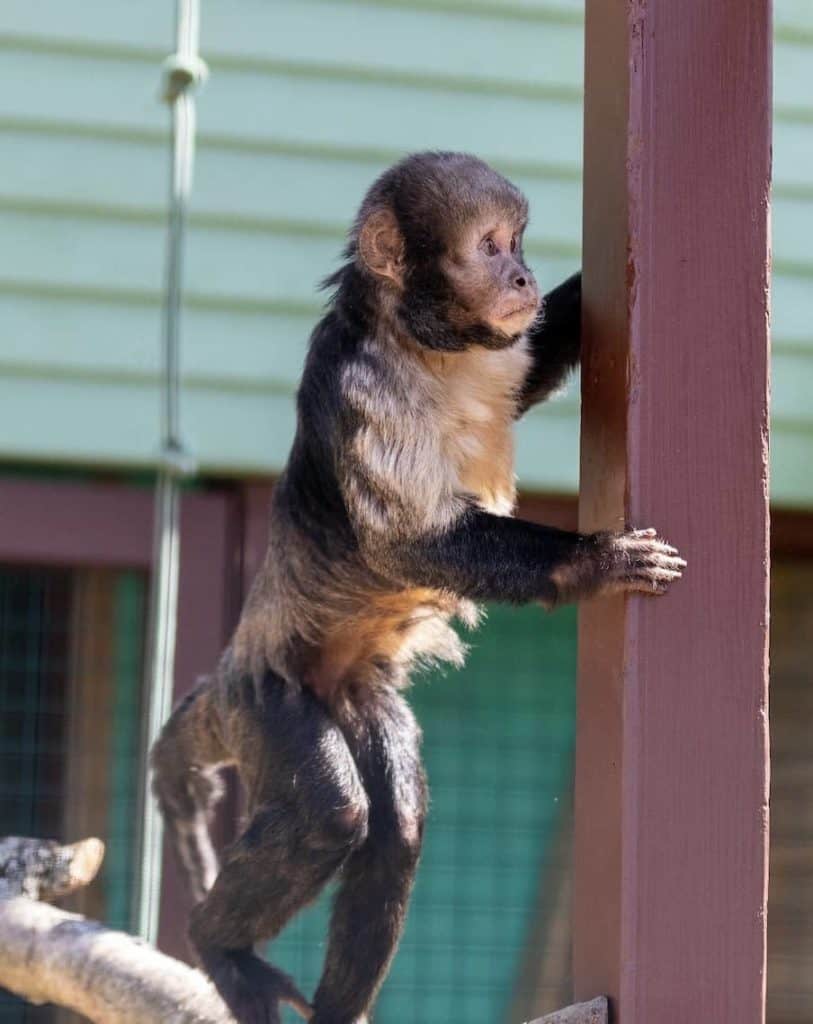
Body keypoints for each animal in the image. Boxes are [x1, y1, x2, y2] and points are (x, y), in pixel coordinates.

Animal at [151, 151, 685, 1024]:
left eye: (518, 245)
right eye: (491, 246)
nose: (522, 274)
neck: (413, 339)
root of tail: (231, 672)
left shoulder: (497, 349)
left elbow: (535, 351)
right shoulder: (363, 385)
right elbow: (403, 544)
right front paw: (594, 561)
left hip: (356, 690)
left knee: (396, 823)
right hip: (268, 701)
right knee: (331, 812)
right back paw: (218, 946)